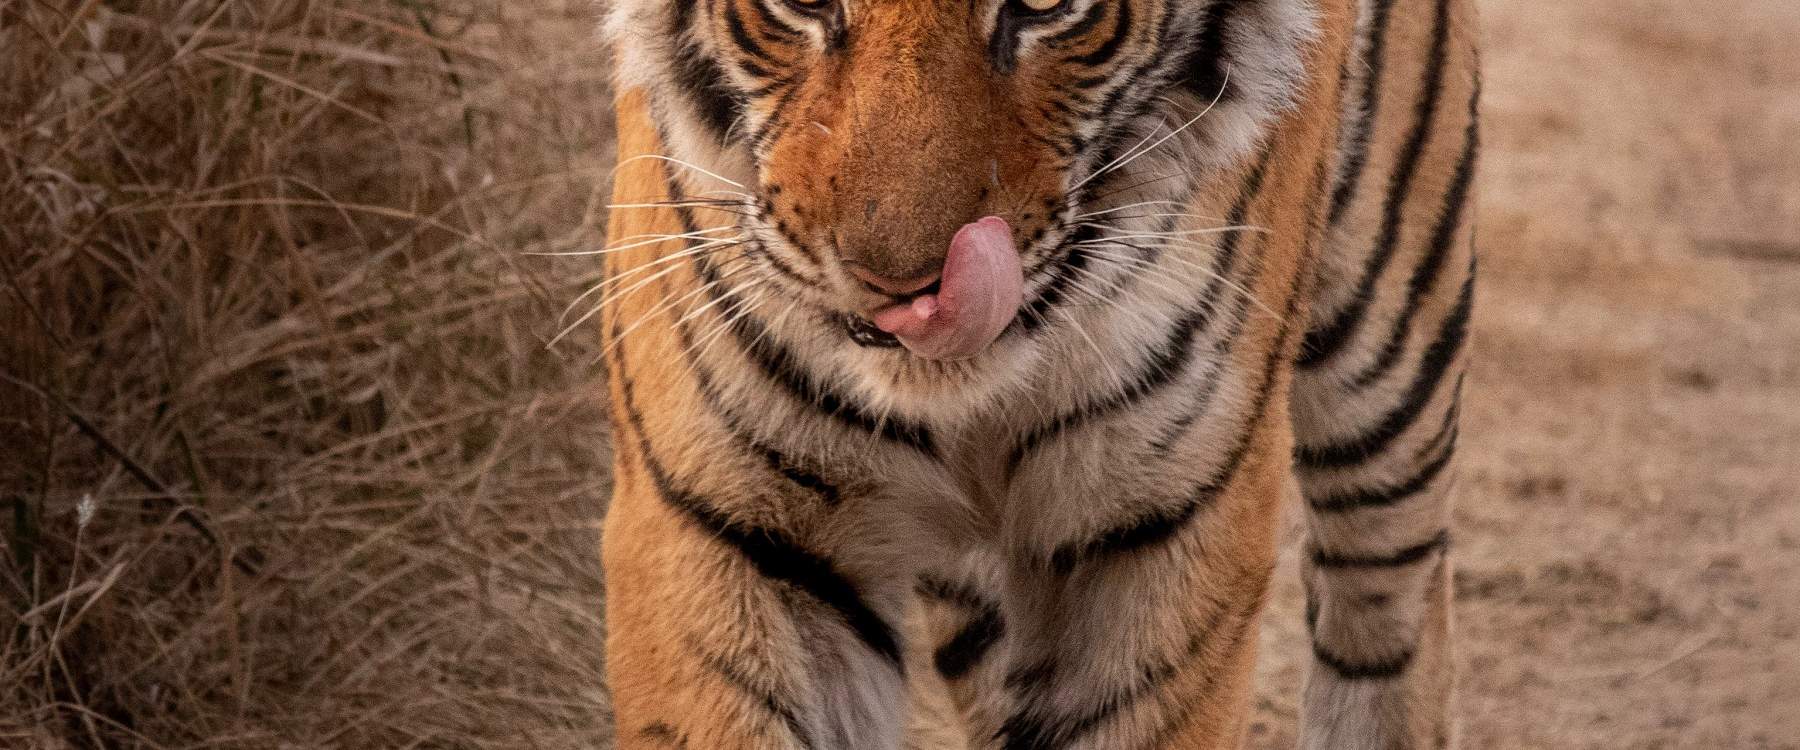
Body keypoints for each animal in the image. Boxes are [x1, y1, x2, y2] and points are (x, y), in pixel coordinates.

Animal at [594, 0, 1479, 746]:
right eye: (804, 3)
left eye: (1050, 5)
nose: (908, 288)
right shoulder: (729, 524)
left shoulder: (1158, 523)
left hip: (1391, 344)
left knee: (1388, 612)